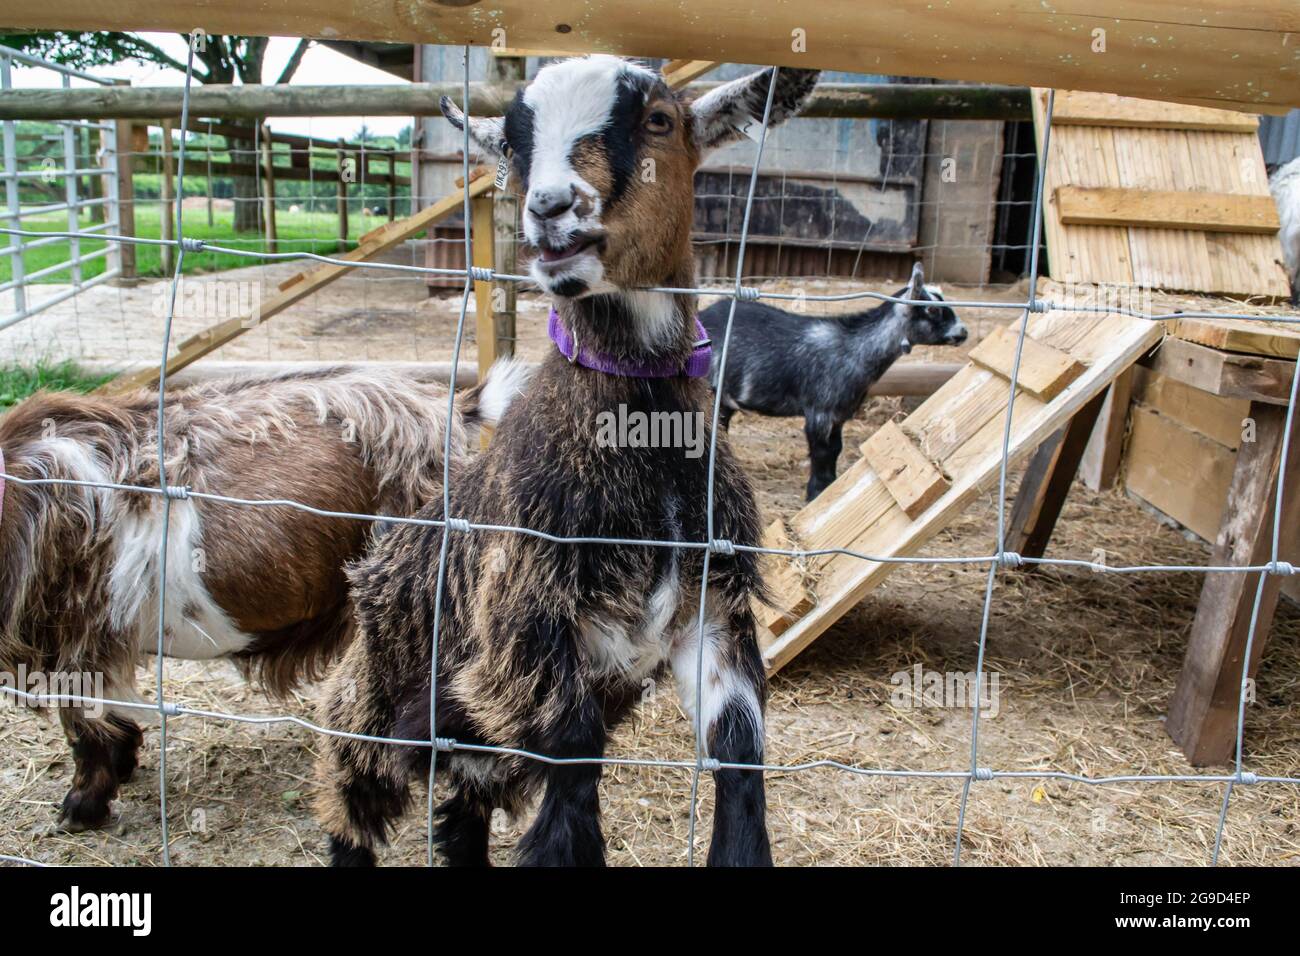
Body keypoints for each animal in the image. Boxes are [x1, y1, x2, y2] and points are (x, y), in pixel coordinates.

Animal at [314, 56, 820, 867]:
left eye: (659, 121)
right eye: (515, 145)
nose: (551, 208)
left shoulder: (710, 609)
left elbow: (741, 748)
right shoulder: (529, 628)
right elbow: (575, 771)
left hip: (476, 741)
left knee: (462, 812)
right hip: (377, 694)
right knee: (350, 789)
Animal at [700, 261, 967, 500]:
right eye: (932, 310)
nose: (963, 332)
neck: (853, 348)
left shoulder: (839, 414)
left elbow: (836, 449)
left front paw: (830, 485)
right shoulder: (820, 411)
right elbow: (821, 452)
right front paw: (816, 492)